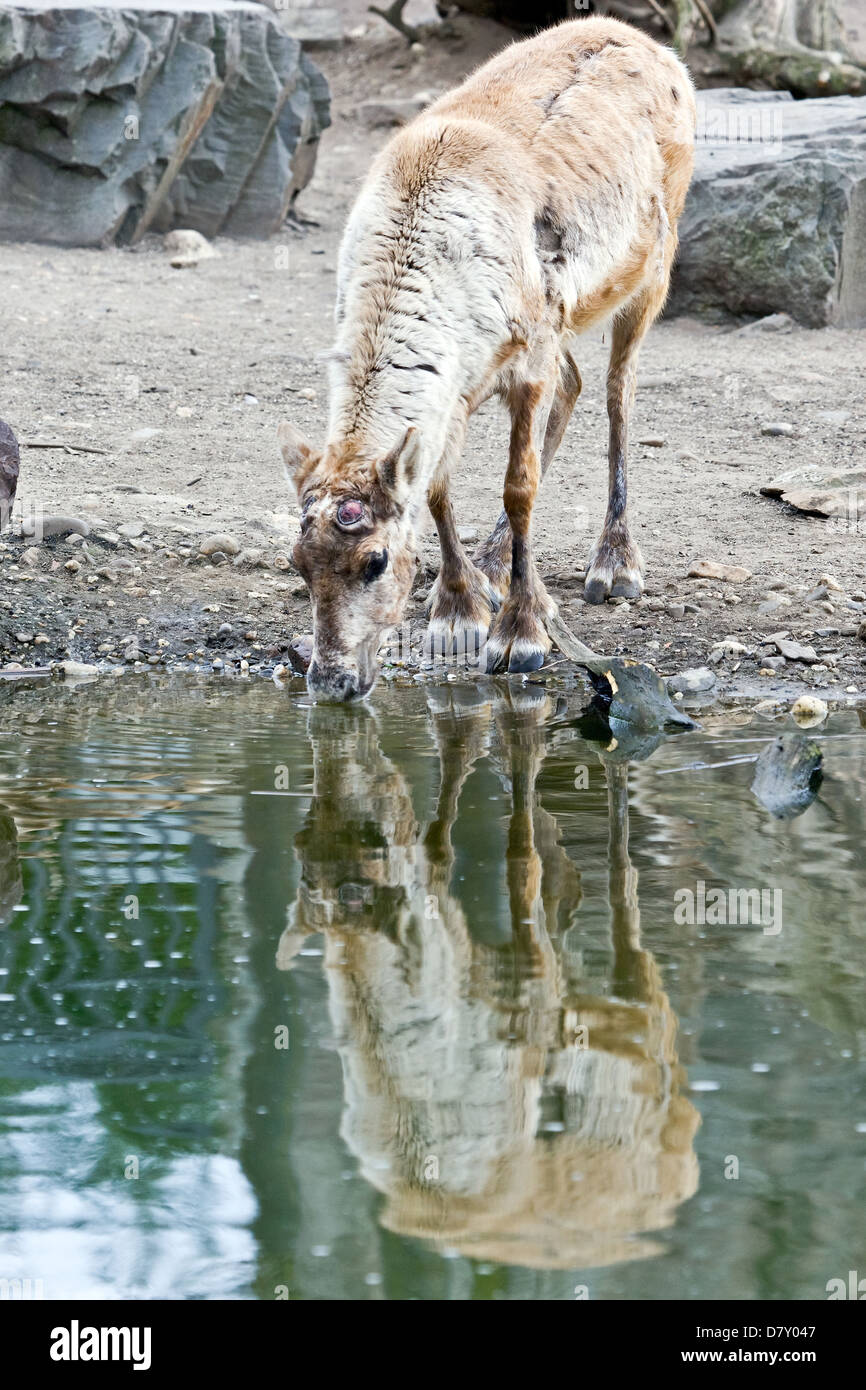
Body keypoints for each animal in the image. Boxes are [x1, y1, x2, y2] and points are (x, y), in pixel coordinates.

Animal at [280, 15, 696, 702]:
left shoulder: (526, 357)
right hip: (561, 325)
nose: (333, 681)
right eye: (297, 562)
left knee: (619, 392)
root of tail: (652, 44)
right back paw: (493, 563)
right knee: (576, 381)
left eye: (375, 561)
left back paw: (613, 563)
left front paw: (520, 633)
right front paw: (457, 611)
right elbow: (438, 487)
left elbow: (518, 486)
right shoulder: (459, 384)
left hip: (653, 267)